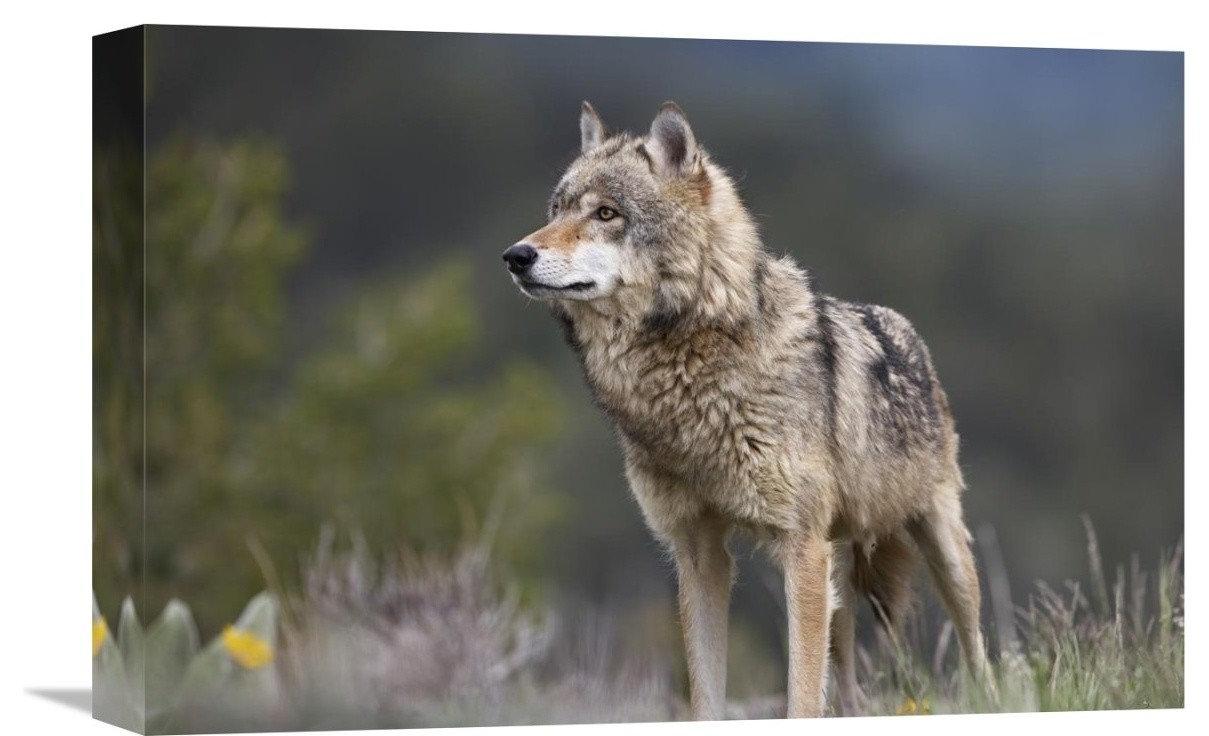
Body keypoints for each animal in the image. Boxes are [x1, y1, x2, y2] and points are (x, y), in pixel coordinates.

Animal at [501, 101, 992, 718]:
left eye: (606, 213)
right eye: (557, 210)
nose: (516, 256)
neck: (694, 362)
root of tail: (906, 330)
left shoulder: (799, 548)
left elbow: (801, 697)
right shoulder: (698, 553)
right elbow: (706, 693)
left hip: (941, 551)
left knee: (981, 655)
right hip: (839, 575)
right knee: (849, 681)